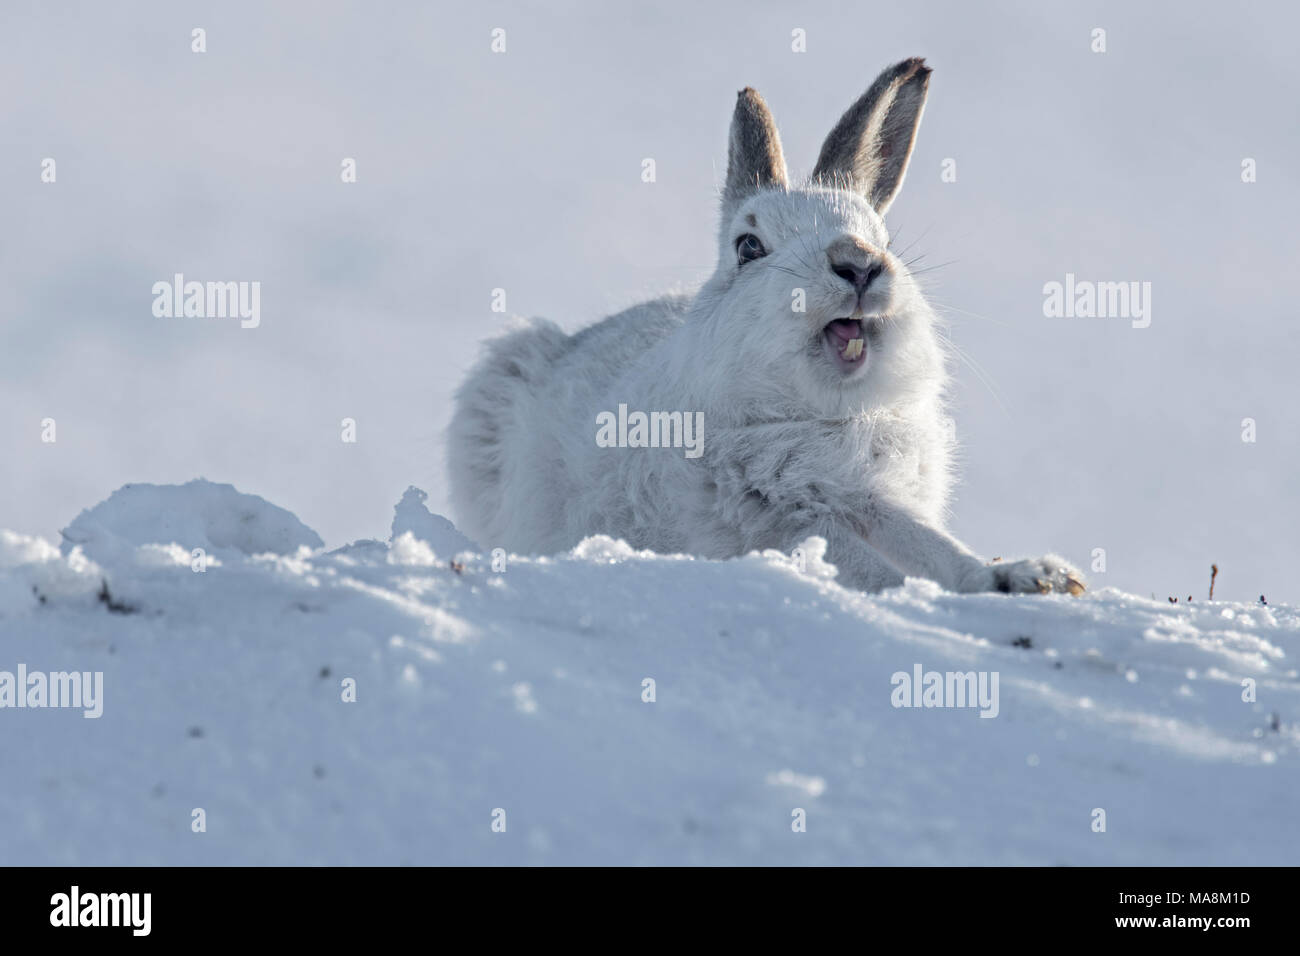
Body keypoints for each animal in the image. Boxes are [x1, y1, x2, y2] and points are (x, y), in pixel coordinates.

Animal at [449, 57, 1085, 596]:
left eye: (880, 236)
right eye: (748, 246)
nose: (859, 263)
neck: (819, 415)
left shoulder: (870, 496)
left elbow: (932, 545)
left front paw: (1027, 576)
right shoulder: (772, 516)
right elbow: (865, 565)